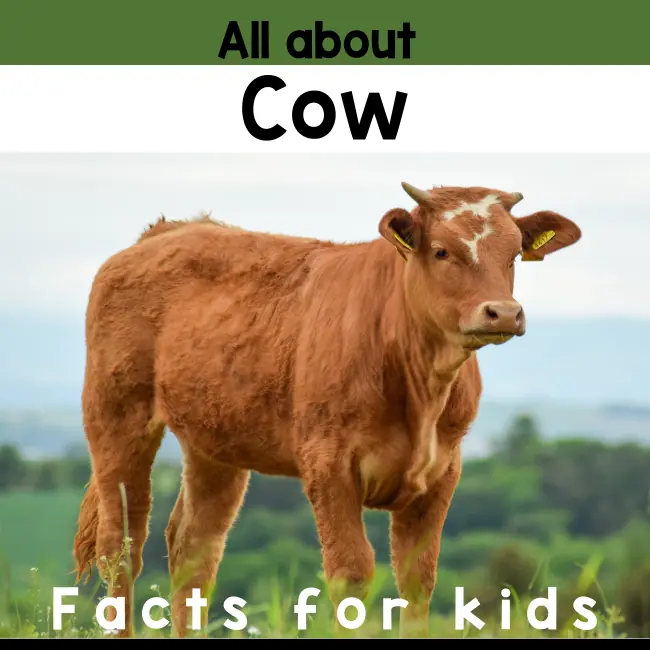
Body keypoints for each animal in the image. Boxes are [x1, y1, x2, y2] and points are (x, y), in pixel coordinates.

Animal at [72, 183, 581, 638]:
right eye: (441, 251)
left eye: (513, 254)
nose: (503, 312)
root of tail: (169, 229)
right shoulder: (329, 463)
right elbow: (351, 574)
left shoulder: (442, 471)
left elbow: (418, 578)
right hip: (116, 416)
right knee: (121, 548)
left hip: (214, 444)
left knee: (193, 549)